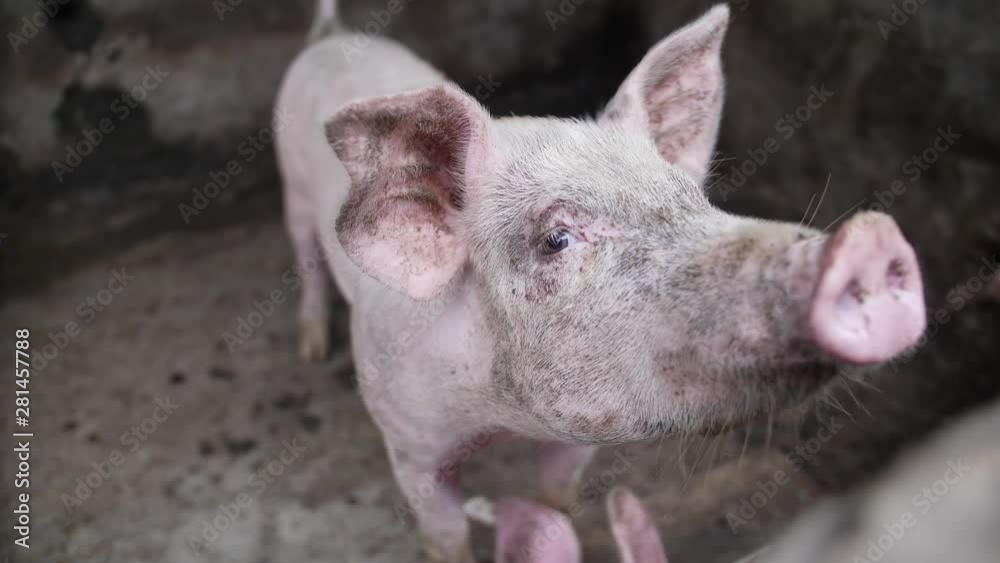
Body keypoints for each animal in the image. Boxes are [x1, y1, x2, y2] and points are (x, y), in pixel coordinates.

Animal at [275, 1, 927, 561]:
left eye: (691, 198)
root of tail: (330, 36)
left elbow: (555, 499)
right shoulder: (410, 445)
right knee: (306, 255)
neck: (497, 419)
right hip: (294, 187)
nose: (867, 238)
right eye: (556, 239)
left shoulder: (581, 433)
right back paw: (309, 349)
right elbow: (446, 537)